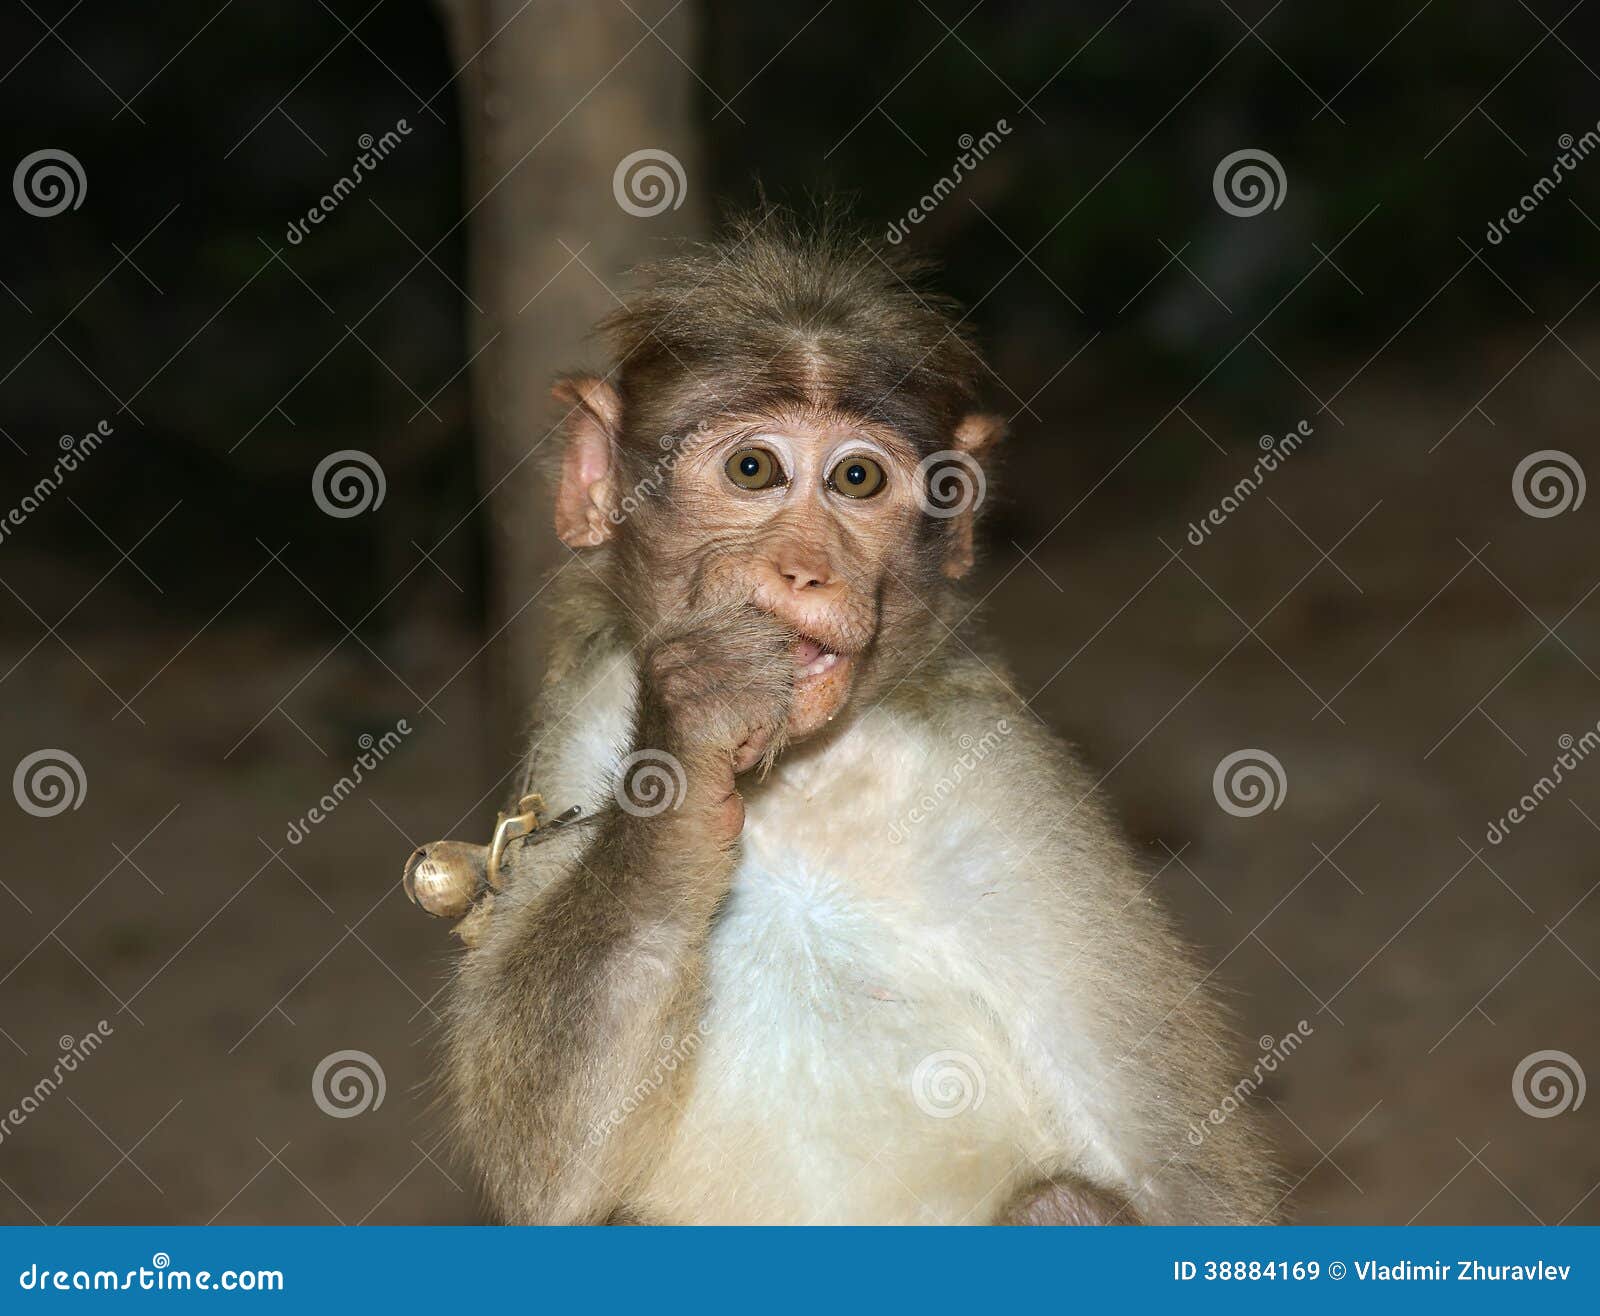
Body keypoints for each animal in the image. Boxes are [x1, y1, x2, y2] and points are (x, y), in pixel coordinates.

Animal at [435, 208, 1279, 1225]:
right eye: (754, 468)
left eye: (859, 482)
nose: (806, 569)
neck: (797, 782)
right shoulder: (591, 708)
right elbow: (544, 1166)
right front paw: (689, 759)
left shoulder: (999, 781)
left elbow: (1191, 1186)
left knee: (1060, 1201)